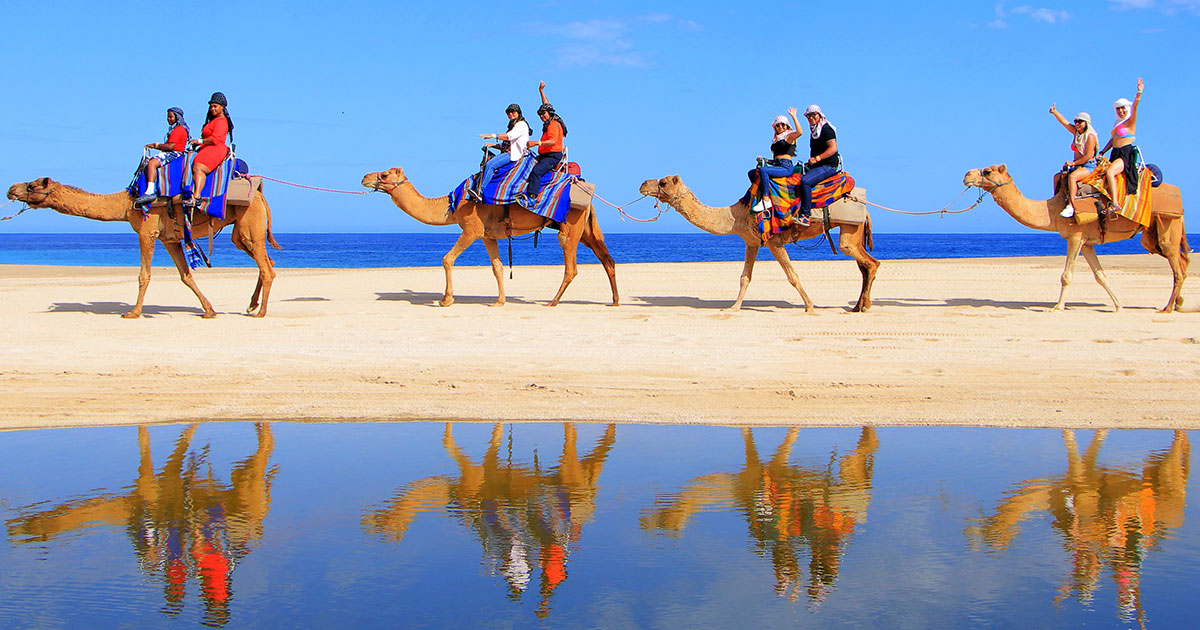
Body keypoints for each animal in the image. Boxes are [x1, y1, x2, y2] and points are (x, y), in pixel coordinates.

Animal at [6, 177, 280, 318]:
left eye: (33, 185)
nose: (11, 188)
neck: (127, 204)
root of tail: (259, 194)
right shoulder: (169, 239)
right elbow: (186, 276)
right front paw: (209, 310)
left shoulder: (146, 231)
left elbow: (144, 275)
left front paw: (133, 312)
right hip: (241, 231)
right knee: (267, 261)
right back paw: (251, 305)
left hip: (249, 222)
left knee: (266, 267)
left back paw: (260, 312)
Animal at [361, 167, 618, 307]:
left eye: (384, 174)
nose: (364, 177)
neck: (453, 205)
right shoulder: (487, 235)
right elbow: (497, 267)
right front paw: (499, 301)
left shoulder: (471, 228)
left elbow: (447, 259)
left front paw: (446, 300)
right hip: (586, 229)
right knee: (608, 259)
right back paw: (614, 300)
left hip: (570, 226)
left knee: (571, 266)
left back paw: (552, 301)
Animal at [638, 175, 879, 312]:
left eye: (663, 182)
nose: (642, 185)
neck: (737, 215)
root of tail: (865, 205)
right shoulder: (751, 242)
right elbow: (745, 277)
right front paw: (733, 308)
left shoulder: (773, 241)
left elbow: (792, 275)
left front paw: (810, 307)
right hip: (853, 232)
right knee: (865, 265)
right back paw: (859, 305)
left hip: (849, 231)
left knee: (869, 262)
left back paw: (863, 306)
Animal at [963, 164, 1190, 313]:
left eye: (988, 171)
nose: (966, 174)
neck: (1053, 210)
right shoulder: (1087, 242)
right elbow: (1100, 275)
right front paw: (1118, 305)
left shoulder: (1075, 237)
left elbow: (1066, 275)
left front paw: (1057, 307)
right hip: (1154, 233)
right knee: (1181, 261)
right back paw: (1178, 303)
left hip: (1167, 225)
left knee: (1177, 266)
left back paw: (1168, 308)